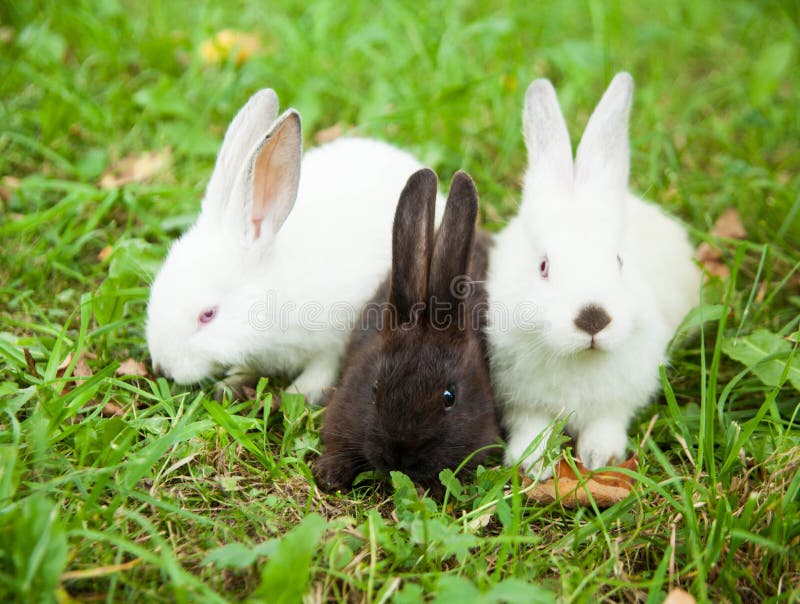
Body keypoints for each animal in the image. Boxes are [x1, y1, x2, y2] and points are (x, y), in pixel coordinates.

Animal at [146, 89, 443, 404]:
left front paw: (299, 394)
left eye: (208, 315)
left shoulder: (335, 337)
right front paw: (232, 381)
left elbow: (324, 366)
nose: (162, 367)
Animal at [486, 72, 700, 477]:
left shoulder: (618, 400)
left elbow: (607, 423)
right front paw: (533, 464)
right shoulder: (521, 401)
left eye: (618, 260)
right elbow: (531, 427)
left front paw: (600, 458)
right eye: (543, 266)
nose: (593, 319)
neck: (579, 360)